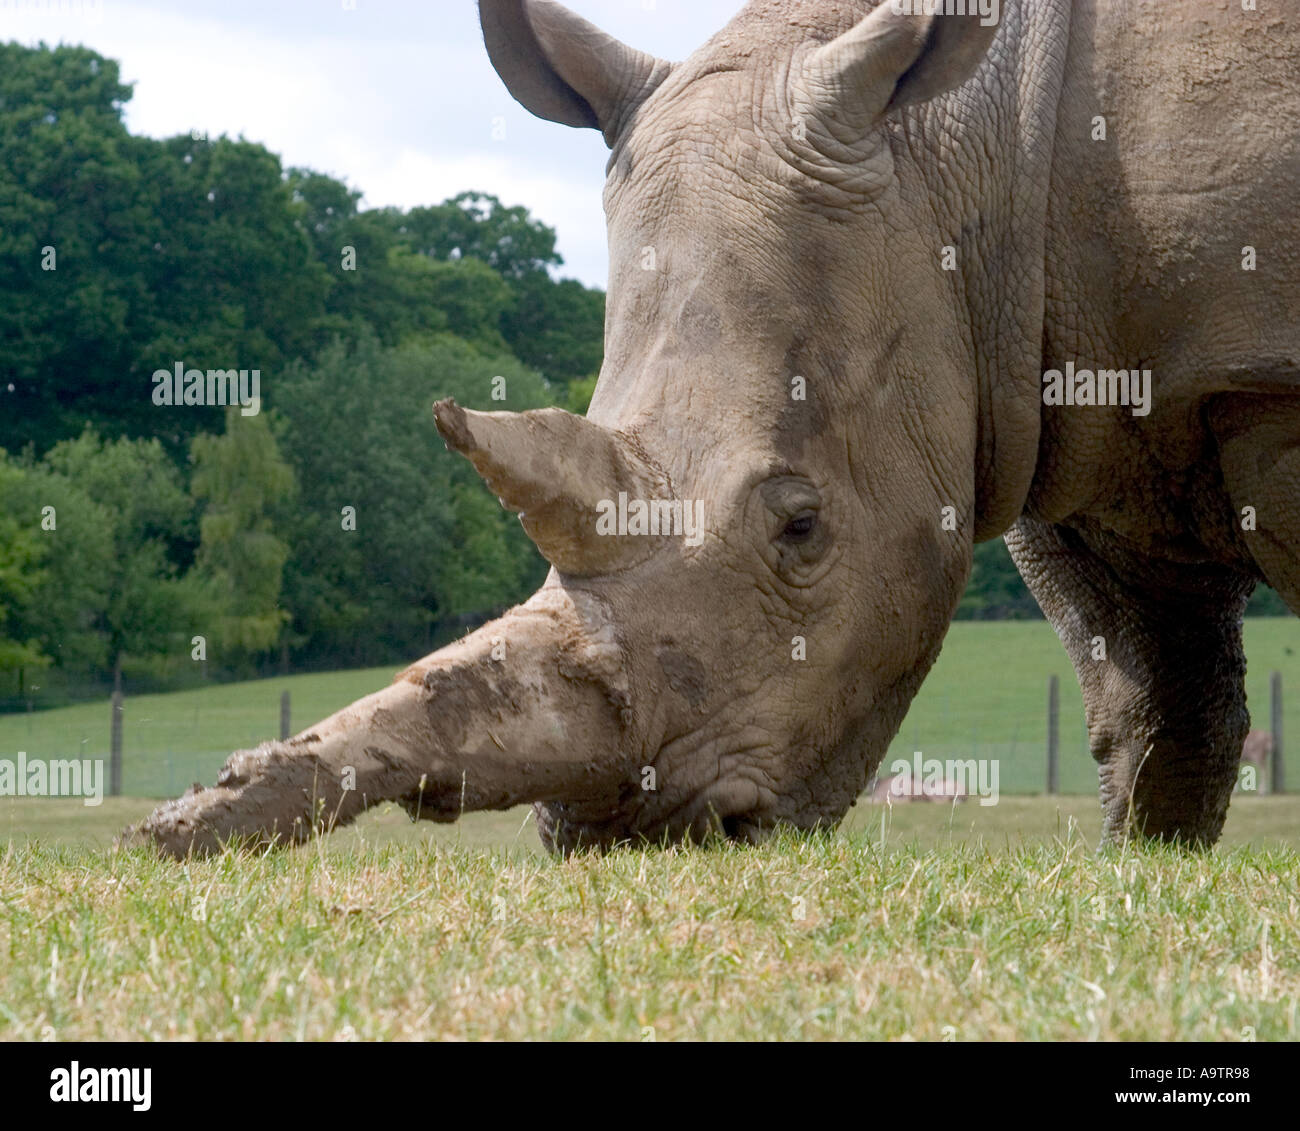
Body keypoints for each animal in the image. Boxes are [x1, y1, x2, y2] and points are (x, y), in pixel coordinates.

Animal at [133, 0, 1298, 857]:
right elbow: (1154, 703)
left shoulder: (1258, 377)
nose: (634, 837)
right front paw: (1148, 874)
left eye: (801, 527)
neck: (978, 155)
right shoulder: (1055, 403)